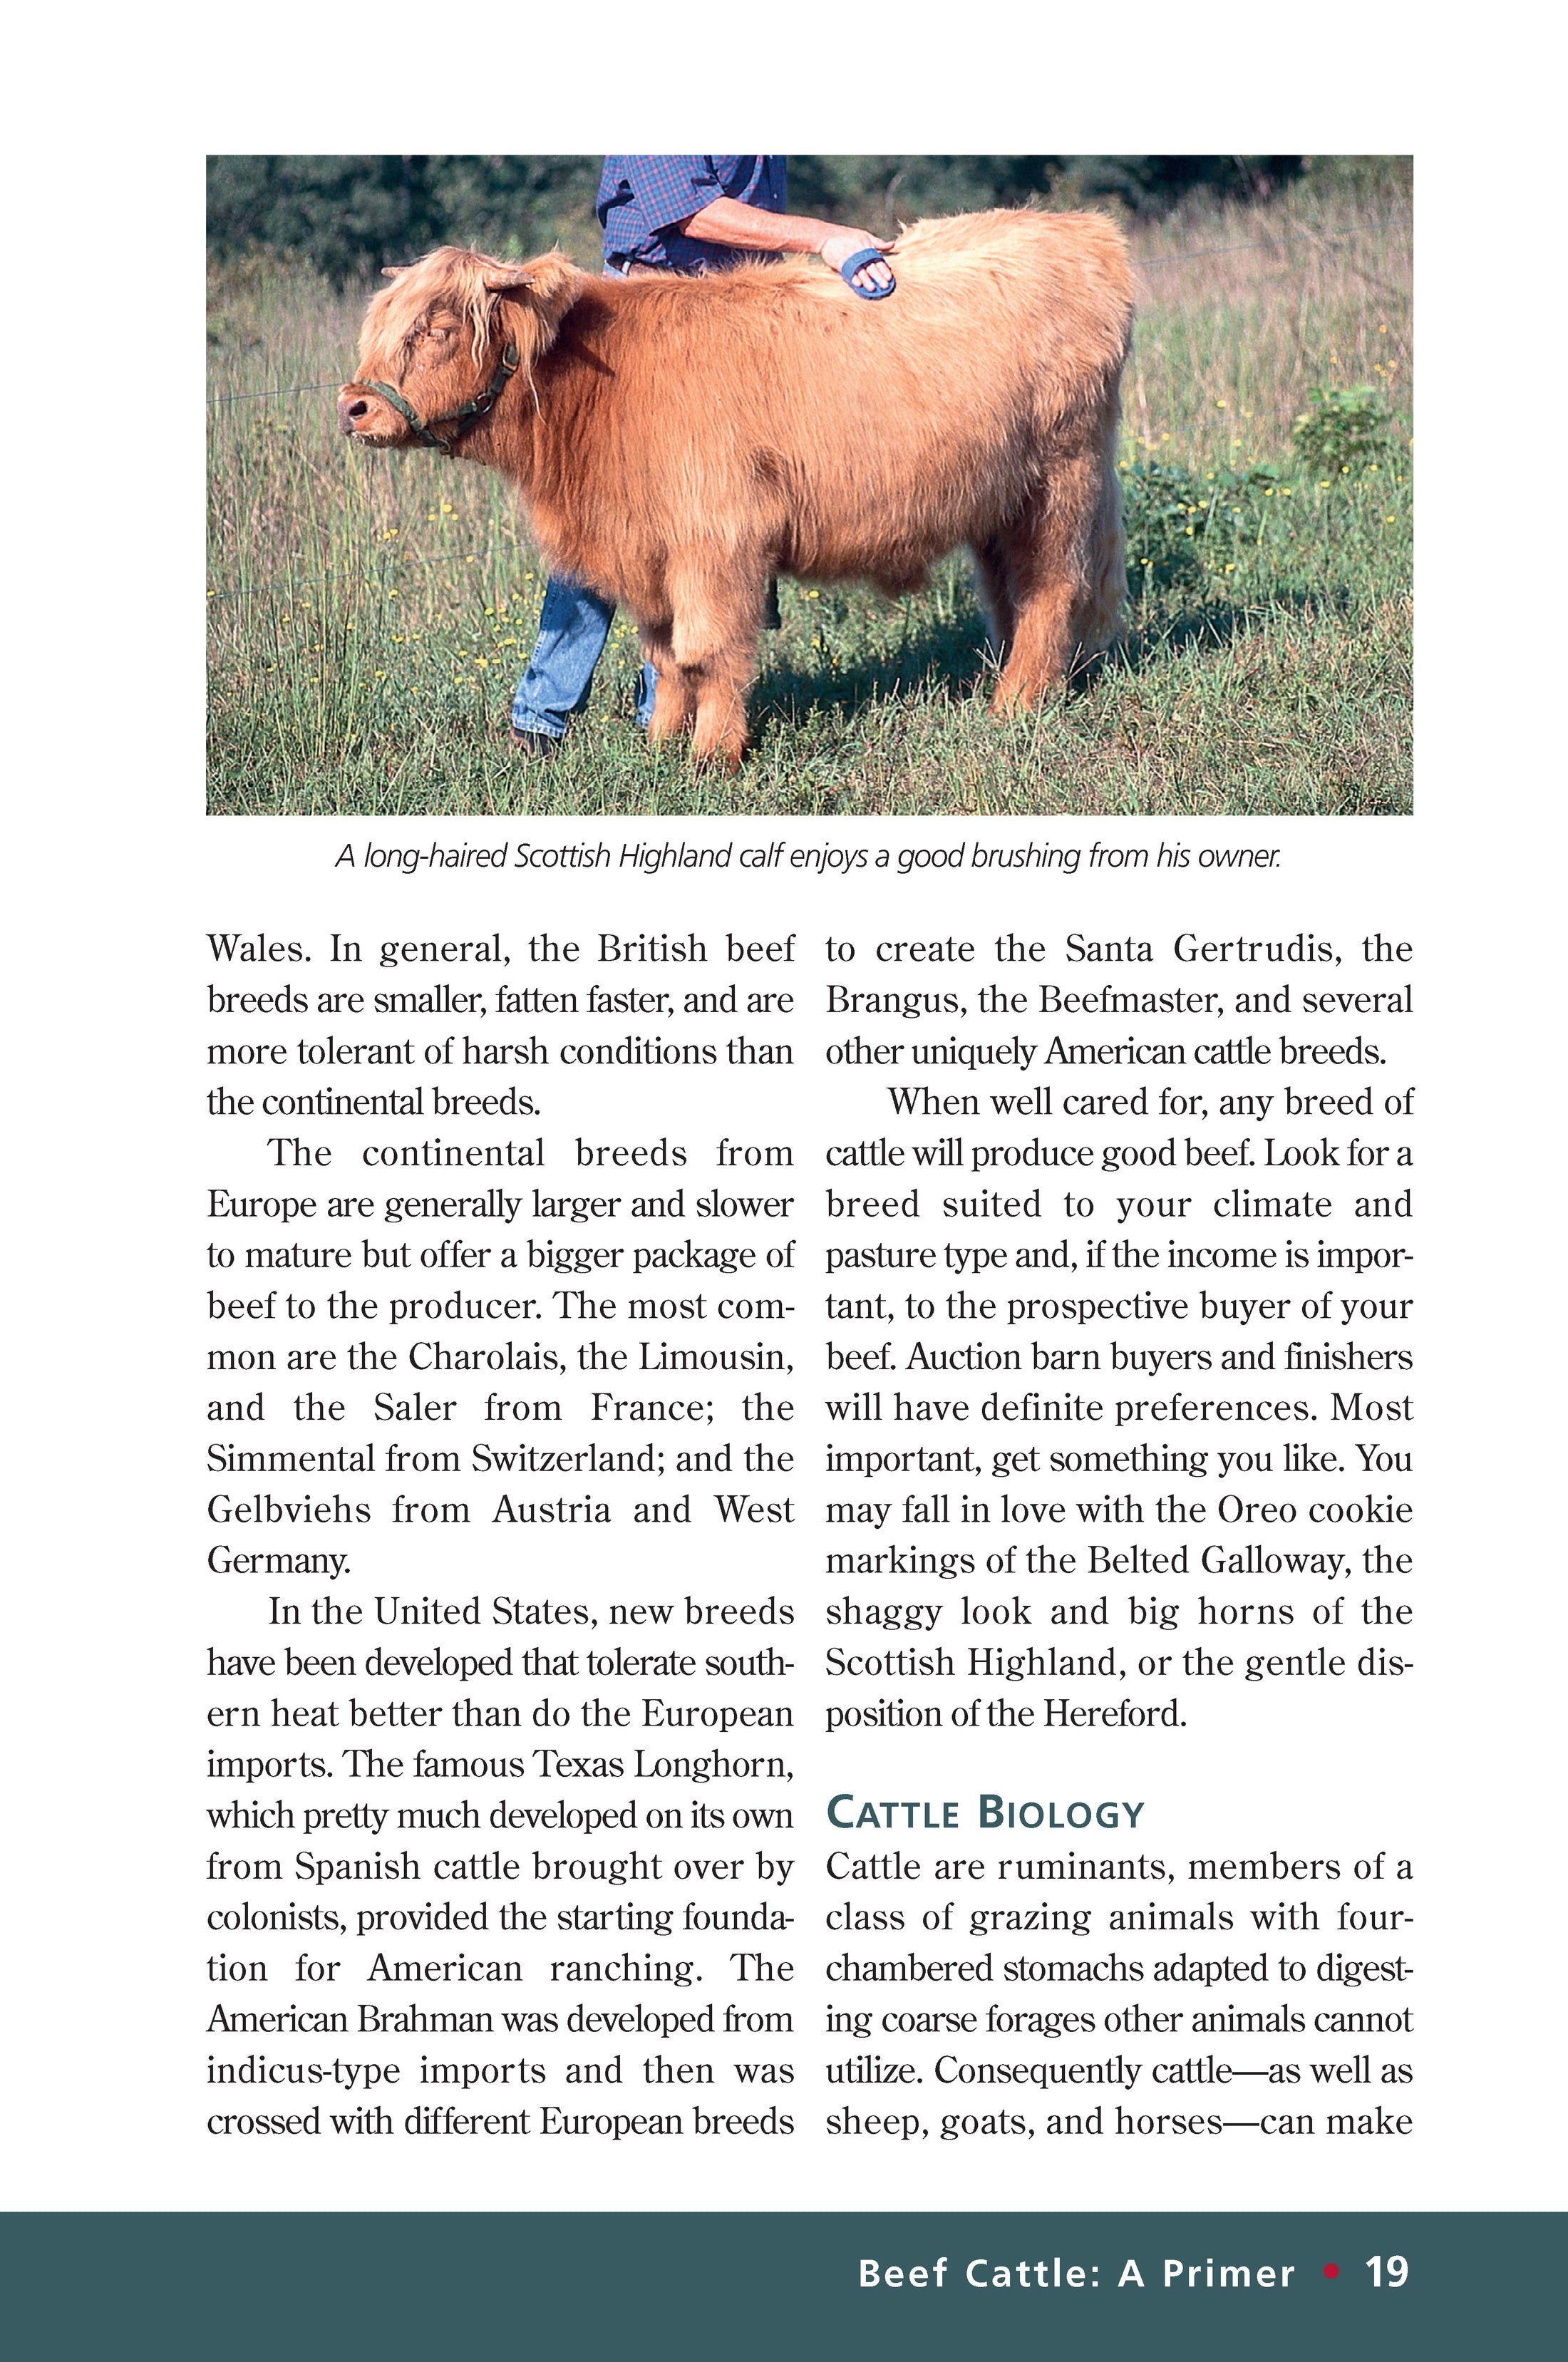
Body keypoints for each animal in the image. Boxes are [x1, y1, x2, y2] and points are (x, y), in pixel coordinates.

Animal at [338, 210, 1134, 770]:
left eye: (438, 327)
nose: (355, 406)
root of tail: (1083, 230)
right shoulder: (648, 551)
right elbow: (662, 656)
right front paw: (658, 746)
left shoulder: (716, 541)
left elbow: (706, 652)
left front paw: (712, 757)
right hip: (996, 495)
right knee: (1006, 590)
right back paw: (1003, 681)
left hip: (1063, 477)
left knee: (1050, 589)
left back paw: (1015, 707)